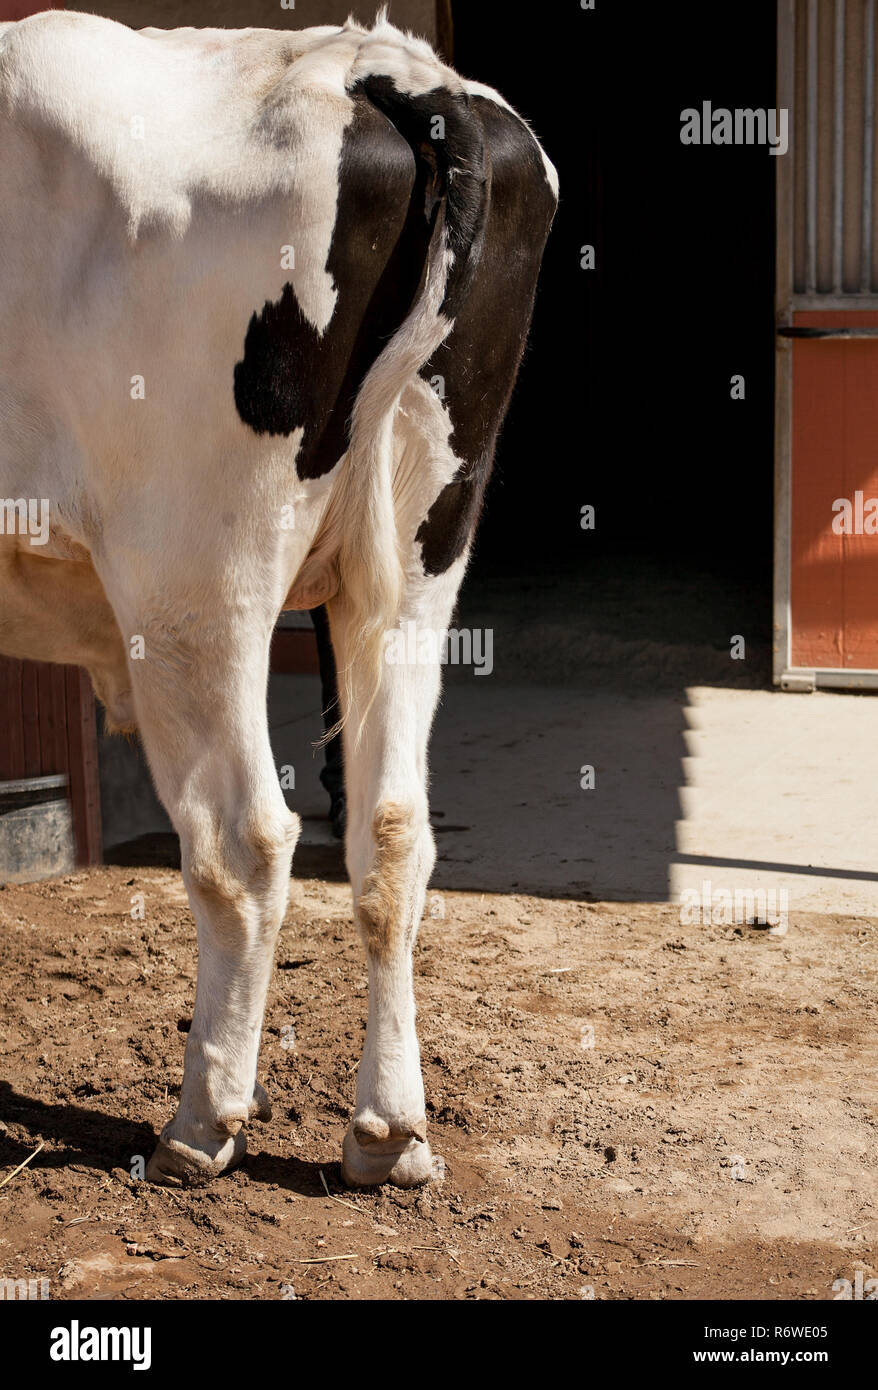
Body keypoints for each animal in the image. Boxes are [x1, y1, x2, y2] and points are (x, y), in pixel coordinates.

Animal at [0, 9, 557, 1187]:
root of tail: (377, 66)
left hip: (192, 581)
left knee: (243, 838)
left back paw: (200, 1122)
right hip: (423, 558)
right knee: (392, 828)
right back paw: (387, 1131)